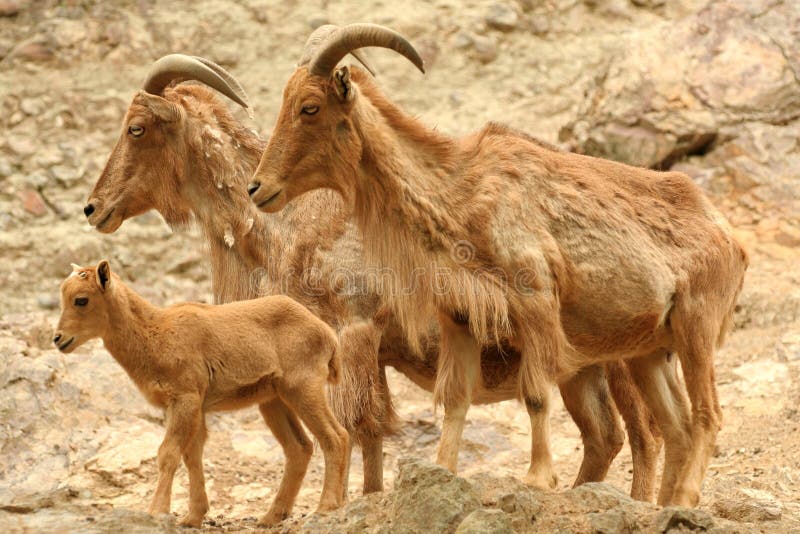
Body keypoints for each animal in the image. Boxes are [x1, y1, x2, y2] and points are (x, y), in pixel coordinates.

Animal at [53, 260, 349, 527]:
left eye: (81, 300)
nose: (58, 339)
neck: (155, 336)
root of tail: (329, 336)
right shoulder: (192, 406)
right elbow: (191, 455)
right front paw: (192, 517)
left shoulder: (185, 398)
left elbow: (168, 453)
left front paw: (157, 511)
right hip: (273, 399)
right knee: (300, 448)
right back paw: (271, 518)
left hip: (304, 387)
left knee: (336, 437)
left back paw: (326, 507)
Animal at [86, 55, 662, 501]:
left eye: (136, 128)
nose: (94, 207)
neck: (288, 226)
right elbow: (370, 431)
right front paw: (368, 494)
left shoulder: (353, 330)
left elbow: (356, 425)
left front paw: (345, 502)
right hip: (581, 368)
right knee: (606, 437)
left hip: (619, 358)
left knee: (644, 437)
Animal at [247, 23, 748, 507]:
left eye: (309, 107)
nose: (257, 188)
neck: (459, 193)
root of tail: (727, 235)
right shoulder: (462, 319)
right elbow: (454, 399)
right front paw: (441, 471)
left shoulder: (536, 302)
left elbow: (535, 394)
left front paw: (538, 477)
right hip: (650, 351)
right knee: (677, 426)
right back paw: (664, 506)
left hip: (696, 328)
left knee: (707, 415)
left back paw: (684, 500)